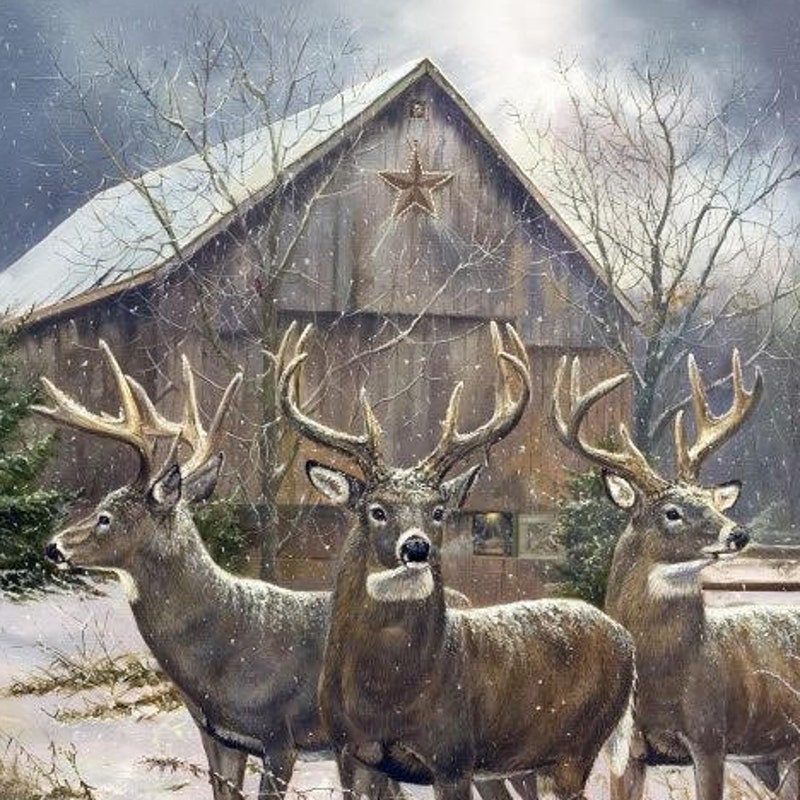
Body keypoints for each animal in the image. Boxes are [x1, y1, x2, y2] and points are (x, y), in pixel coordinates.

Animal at [277, 320, 638, 800]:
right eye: (376, 510)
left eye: (437, 510)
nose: (416, 548)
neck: (386, 694)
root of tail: (627, 641)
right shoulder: (349, 752)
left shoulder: (453, 757)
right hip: (519, 764)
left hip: (574, 749)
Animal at [551, 350, 800, 800]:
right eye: (672, 512)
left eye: (713, 502)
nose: (738, 533)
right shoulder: (626, 751)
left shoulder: (710, 736)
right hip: (775, 755)